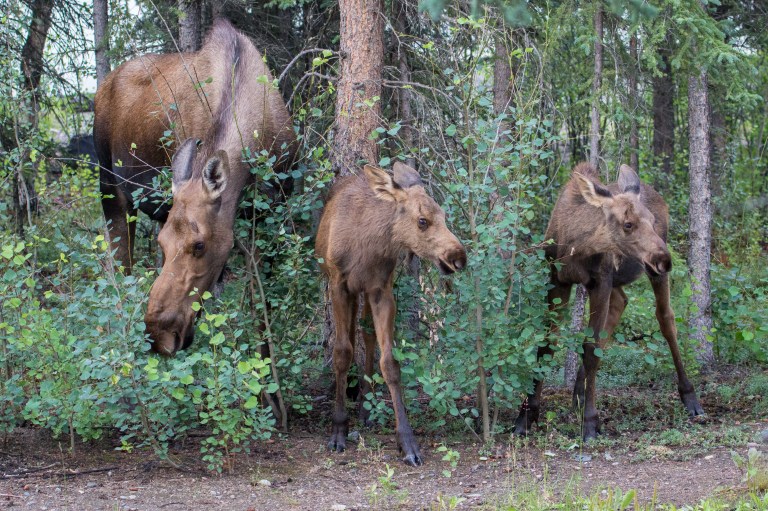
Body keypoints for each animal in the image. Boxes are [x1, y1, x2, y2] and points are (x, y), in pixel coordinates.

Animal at [93, 19, 296, 355]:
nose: (158, 335)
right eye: (163, 243)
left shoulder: (274, 215)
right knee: (121, 272)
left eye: (199, 245)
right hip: (110, 189)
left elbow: (261, 313)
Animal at [315, 163, 467, 466]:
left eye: (444, 216)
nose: (459, 257)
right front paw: (338, 430)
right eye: (422, 221)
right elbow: (341, 353)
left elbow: (390, 363)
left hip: (365, 292)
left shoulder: (381, 289)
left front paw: (407, 443)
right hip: (346, 287)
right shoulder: (339, 284)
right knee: (352, 338)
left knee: (366, 333)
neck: (367, 245)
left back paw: (366, 407)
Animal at [513, 162, 705, 440]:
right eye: (628, 224)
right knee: (621, 304)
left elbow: (590, 348)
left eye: (652, 221)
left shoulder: (600, 281)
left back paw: (690, 396)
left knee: (666, 319)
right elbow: (547, 345)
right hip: (619, 282)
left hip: (647, 275)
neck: (576, 248)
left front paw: (590, 422)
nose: (665, 260)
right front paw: (526, 416)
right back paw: (579, 395)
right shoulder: (558, 280)